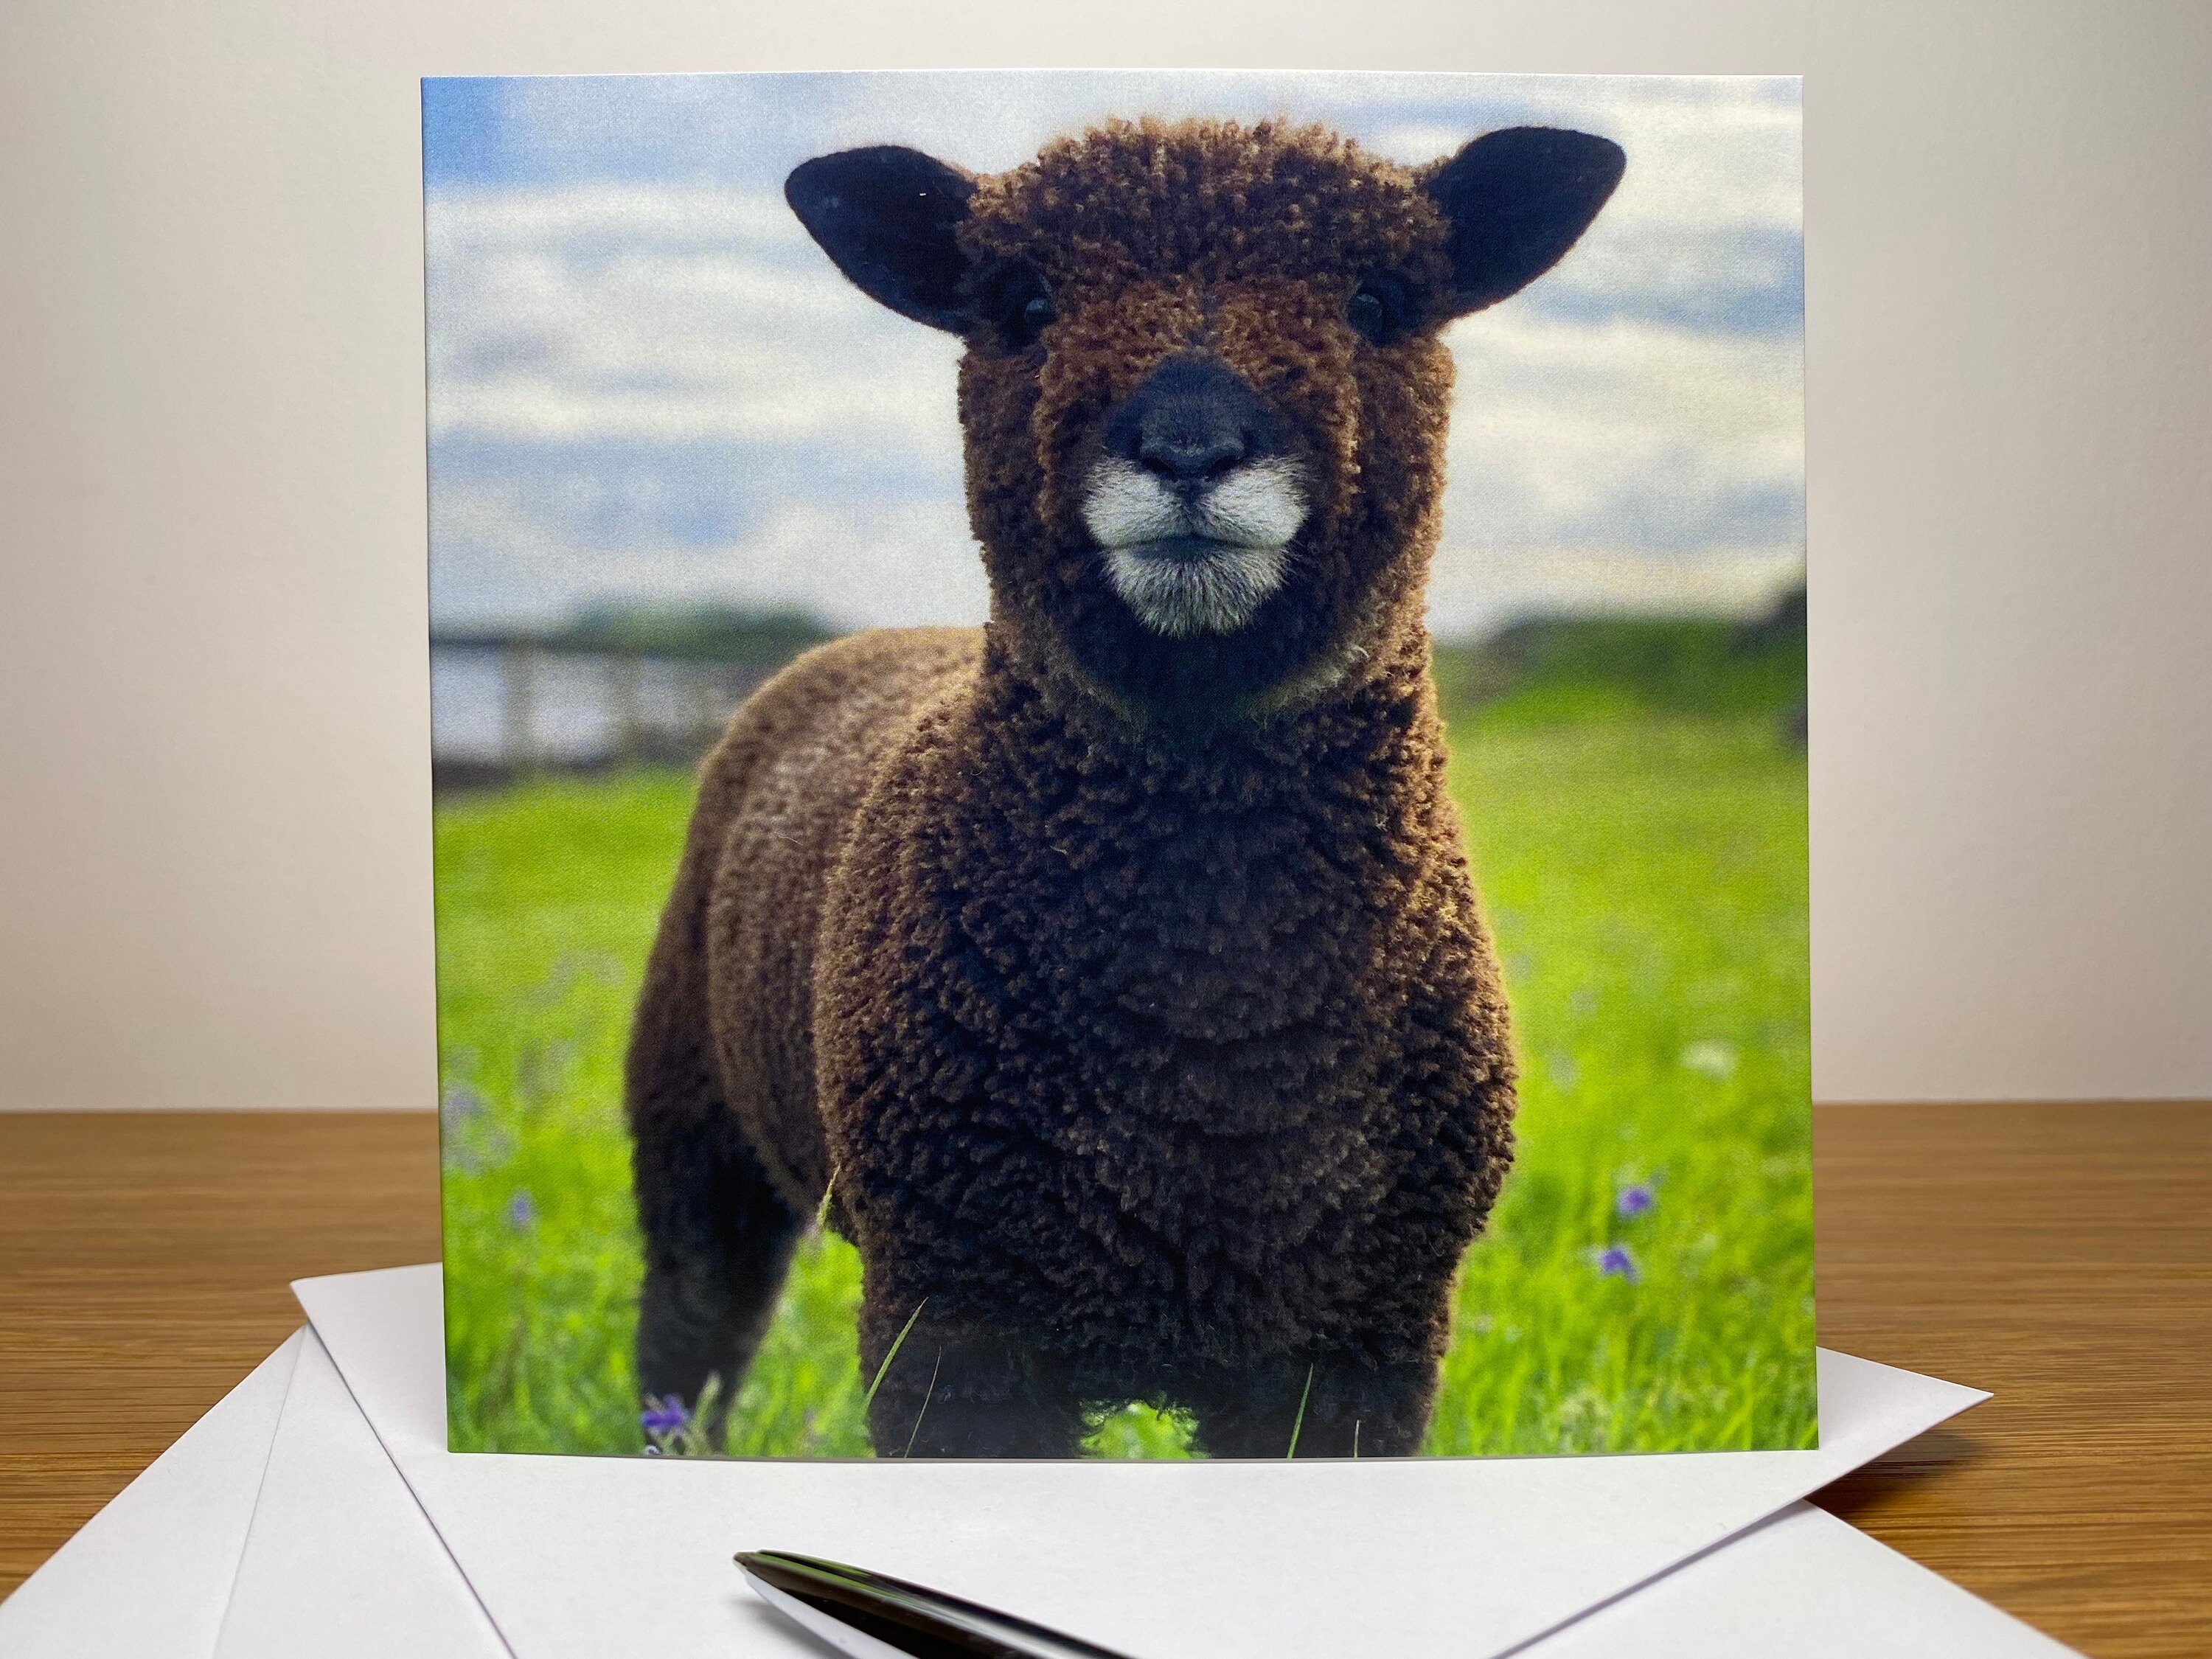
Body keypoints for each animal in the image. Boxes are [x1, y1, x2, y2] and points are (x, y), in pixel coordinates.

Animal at [626, 117, 1624, 1458]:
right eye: (1025, 305)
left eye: (1378, 301)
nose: (1189, 447)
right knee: (694, 1335)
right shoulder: (956, 1323)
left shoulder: (1360, 1343)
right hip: (692, 1119)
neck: (1212, 1028)